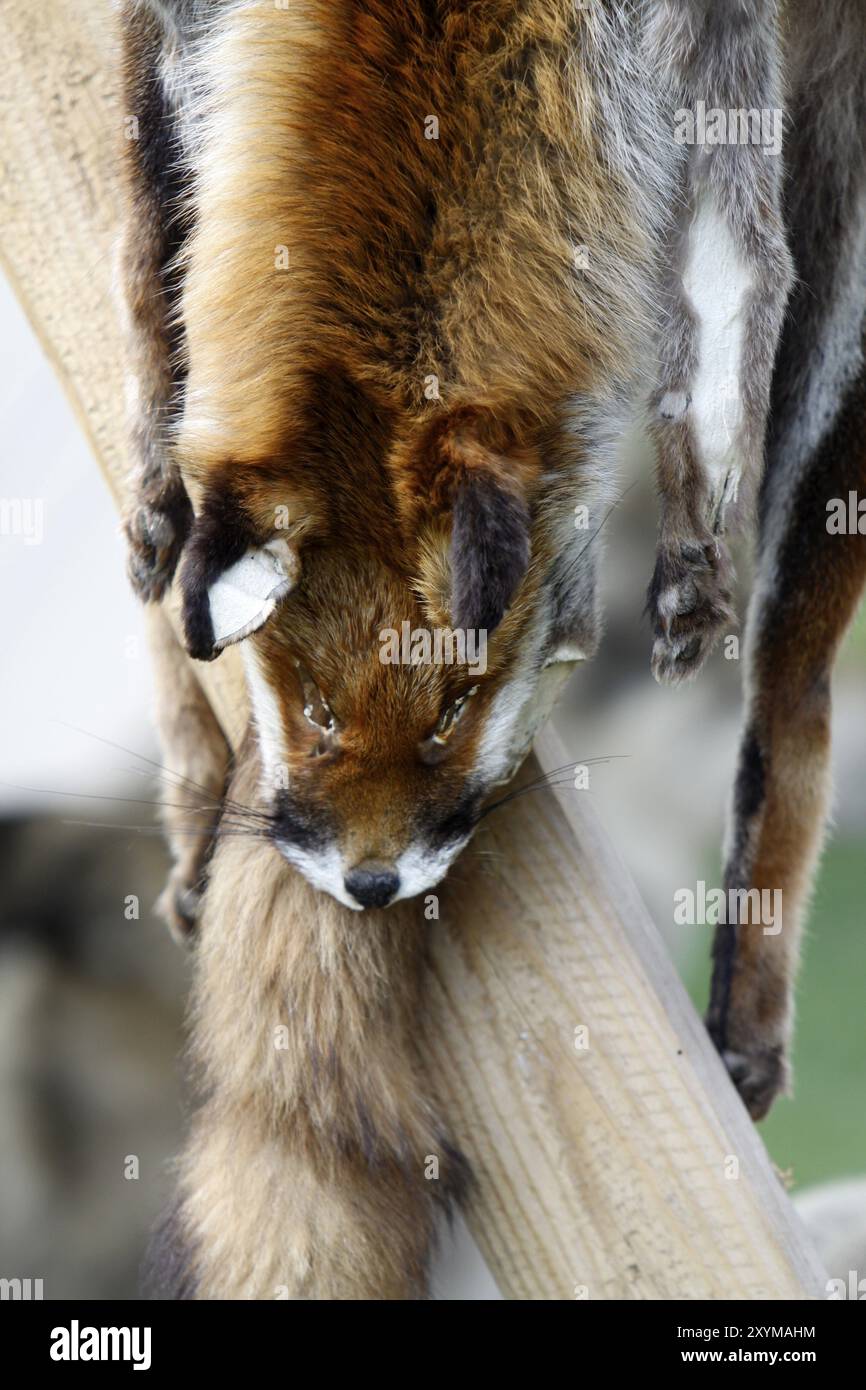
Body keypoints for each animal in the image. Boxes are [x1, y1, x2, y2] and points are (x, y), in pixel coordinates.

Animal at [119, 0, 866, 1295]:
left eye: (450, 717)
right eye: (316, 713)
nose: (368, 886)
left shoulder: (711, 43)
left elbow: (728, 292)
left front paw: (695, 523)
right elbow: (151, 269)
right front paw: (156, 471)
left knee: (792, 692)